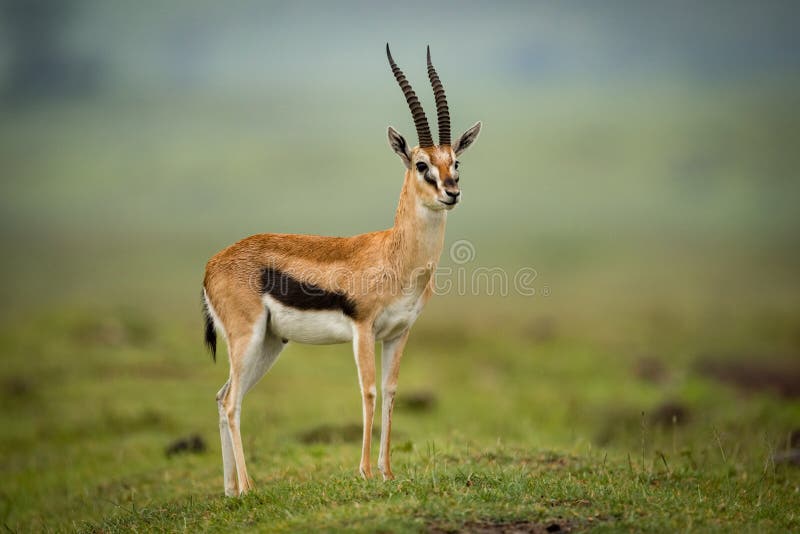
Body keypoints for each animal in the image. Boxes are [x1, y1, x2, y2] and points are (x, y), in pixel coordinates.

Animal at [202, 44, 481, 496]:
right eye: (421, 164)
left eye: (455, 161)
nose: (452, 191)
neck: (394, 255)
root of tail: (212, 264)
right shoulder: (363, 329)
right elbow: (367, 392)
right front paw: (365, 471)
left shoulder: (398, 333)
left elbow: (390, 391)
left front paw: (387, 472)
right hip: (247, 338)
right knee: (230, 402)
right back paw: (248, 487)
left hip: (269, 343)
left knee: (223, 395)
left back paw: (230, 489)